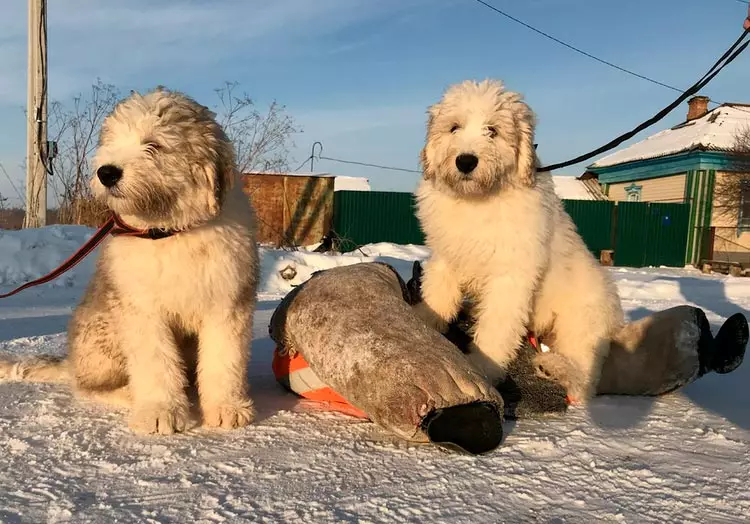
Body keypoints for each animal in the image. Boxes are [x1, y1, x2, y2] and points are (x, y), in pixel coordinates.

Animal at [0, 89, 260, 434]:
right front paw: (160, 411)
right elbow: (156, 362)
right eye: (111, 142)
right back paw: (129, 393)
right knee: (88, 386)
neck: (169, 232)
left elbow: (224, 358)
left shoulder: (226, 302)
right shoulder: (142, 310)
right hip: (105, 332)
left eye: (154, 144)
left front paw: (226, 407)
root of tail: (71, 360)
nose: (106, 172)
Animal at [414, 80, 624, 402]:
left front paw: (482, 367)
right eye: (454, 128)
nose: (465, 161)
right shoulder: (447, 256)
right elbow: (437, 295)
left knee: (585, 379)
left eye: (492, 130)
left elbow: (496, 327)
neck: (478, 200)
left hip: (581, 322)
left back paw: (554, 368)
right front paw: (422, 321)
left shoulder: (510, 277)